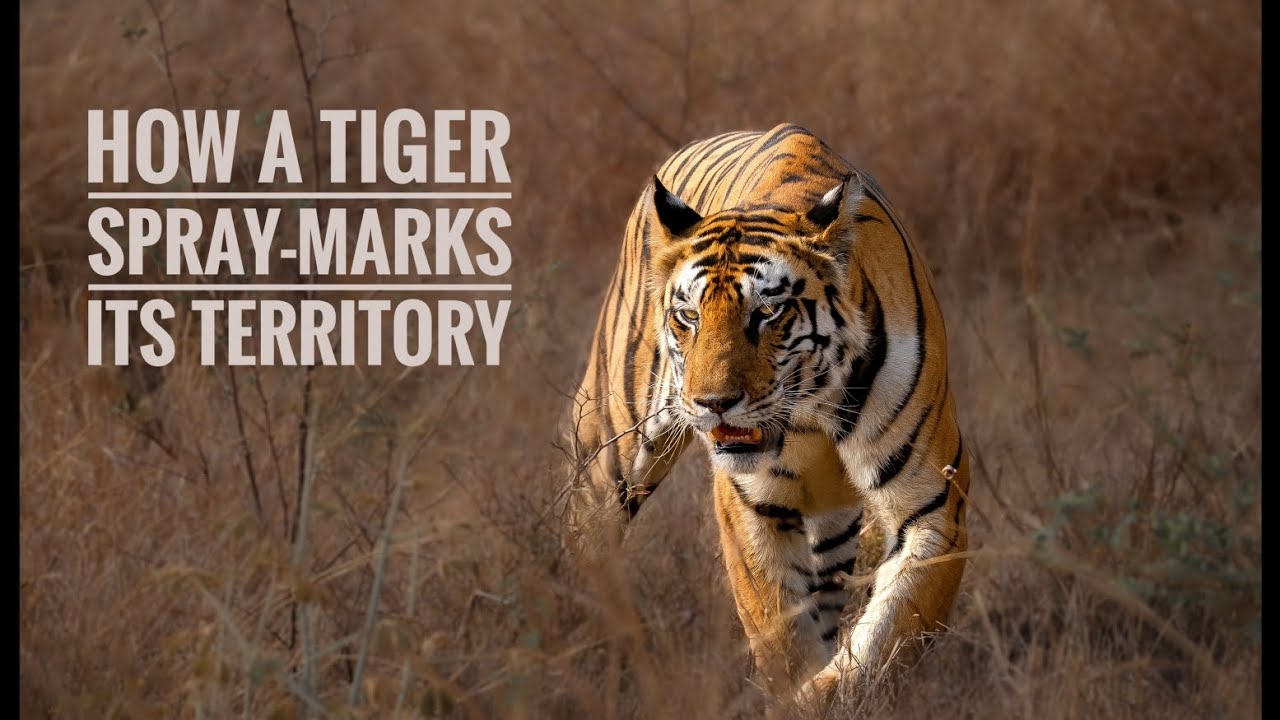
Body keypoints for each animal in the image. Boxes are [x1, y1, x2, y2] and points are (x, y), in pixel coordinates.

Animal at [564, 123, 969, 703]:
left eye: (767, 312)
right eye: (688, 316)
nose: (712, 404)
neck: (814, 413)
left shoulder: (933, 505)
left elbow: (888, 635)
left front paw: (831, 694)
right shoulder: (751, 505)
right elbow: (781, 633)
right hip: (611, 449)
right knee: (586, 539)